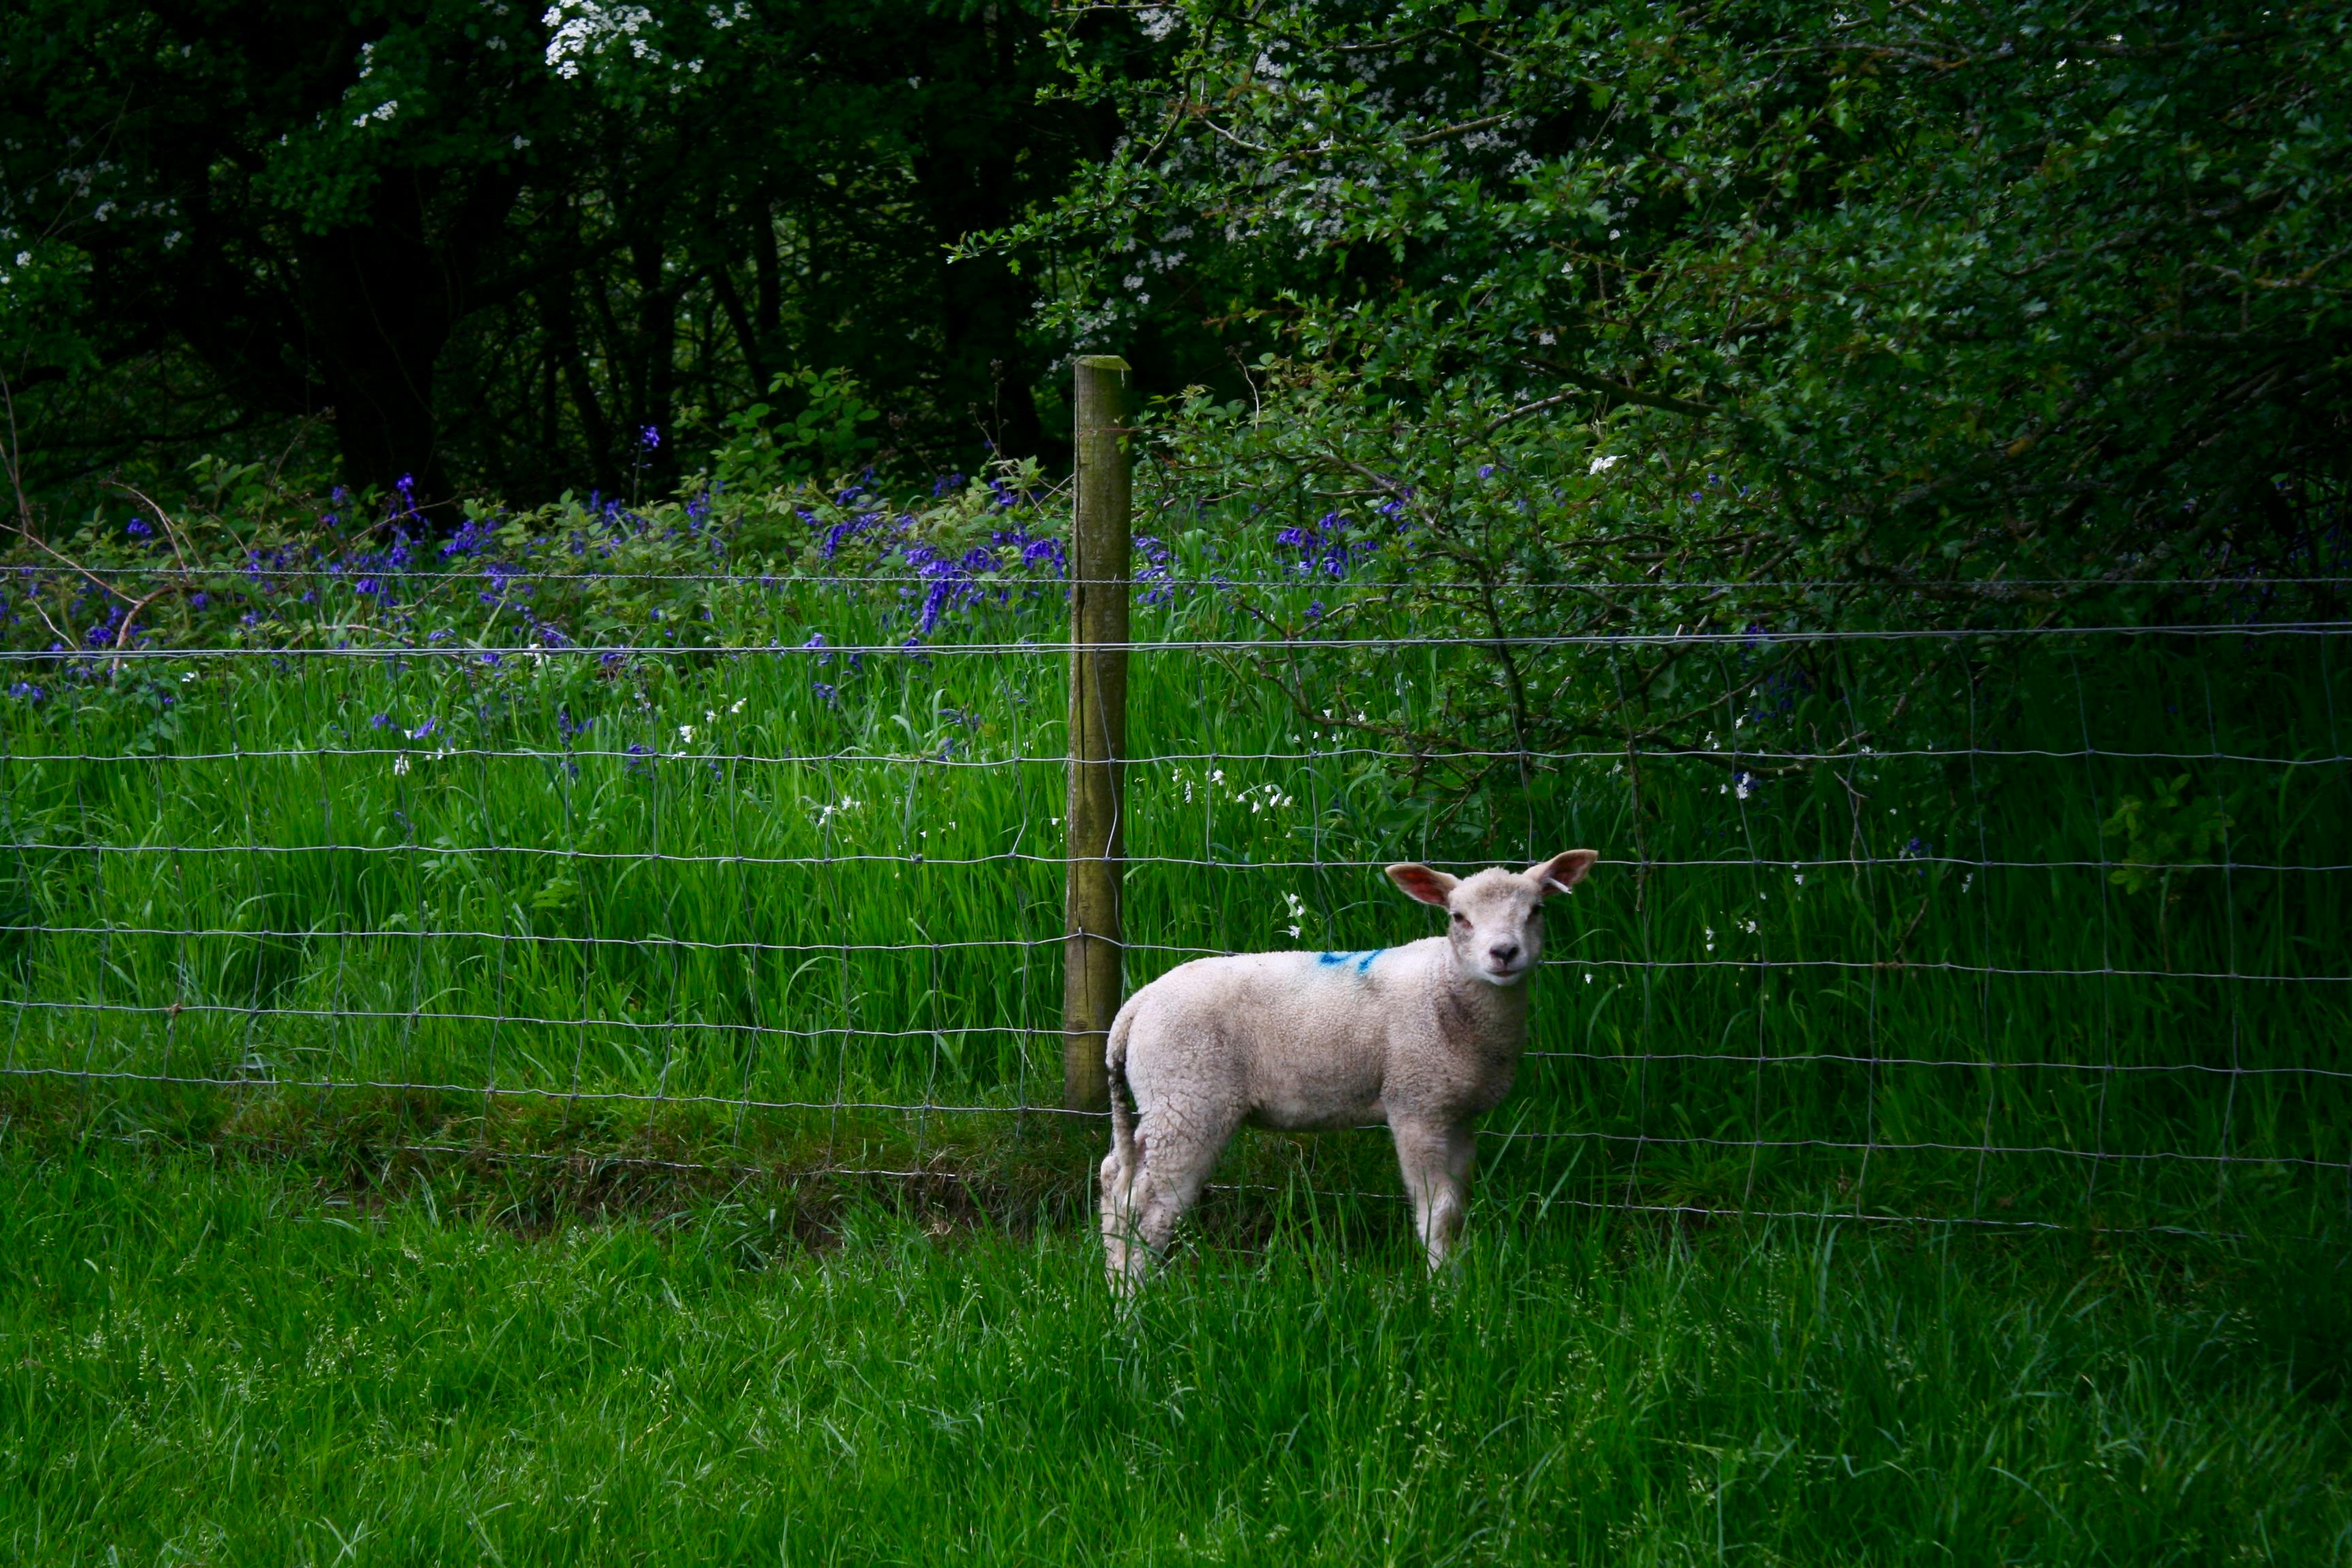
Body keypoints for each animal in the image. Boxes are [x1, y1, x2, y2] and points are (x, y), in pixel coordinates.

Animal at [1099, 848, 1600, 1290]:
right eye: (1459, 917)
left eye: (1536, 910)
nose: (1504, 953)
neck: (1447, 990)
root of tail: (1138, 1004)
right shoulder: (1416, 1104)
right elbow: (1436, 1211)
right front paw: (1442, 1296)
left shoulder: (1455, 1112)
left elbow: (1456, 1208)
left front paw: (1460, 1282)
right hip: (1190, 1099)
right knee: (1150, 1203)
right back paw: (1133, 1302)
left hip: (1167, 1100)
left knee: (1115, 1181)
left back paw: (1113, 1285)